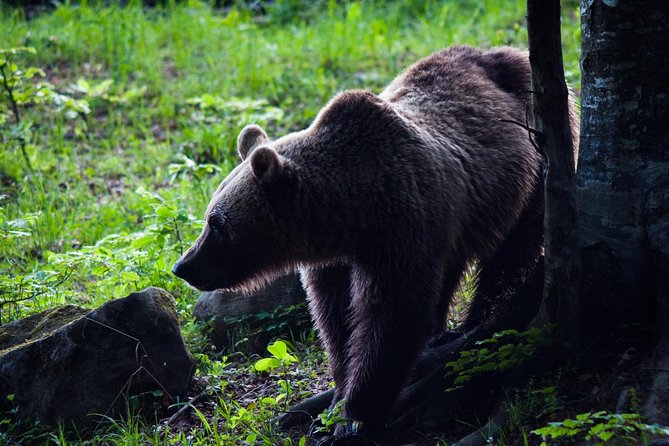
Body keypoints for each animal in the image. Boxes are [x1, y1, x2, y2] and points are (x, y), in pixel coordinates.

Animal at [172, 45, 579, 445]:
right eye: (209, 216)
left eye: (216, 224)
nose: (183, 265)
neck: (355, 211)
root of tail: (510, 50)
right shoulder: (335, 260)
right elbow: (337, 318)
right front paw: (335, 399)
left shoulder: (402, 231)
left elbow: (392, 318)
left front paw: (354, 419)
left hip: (534, 170)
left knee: (510, 256)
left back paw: (471, 325)